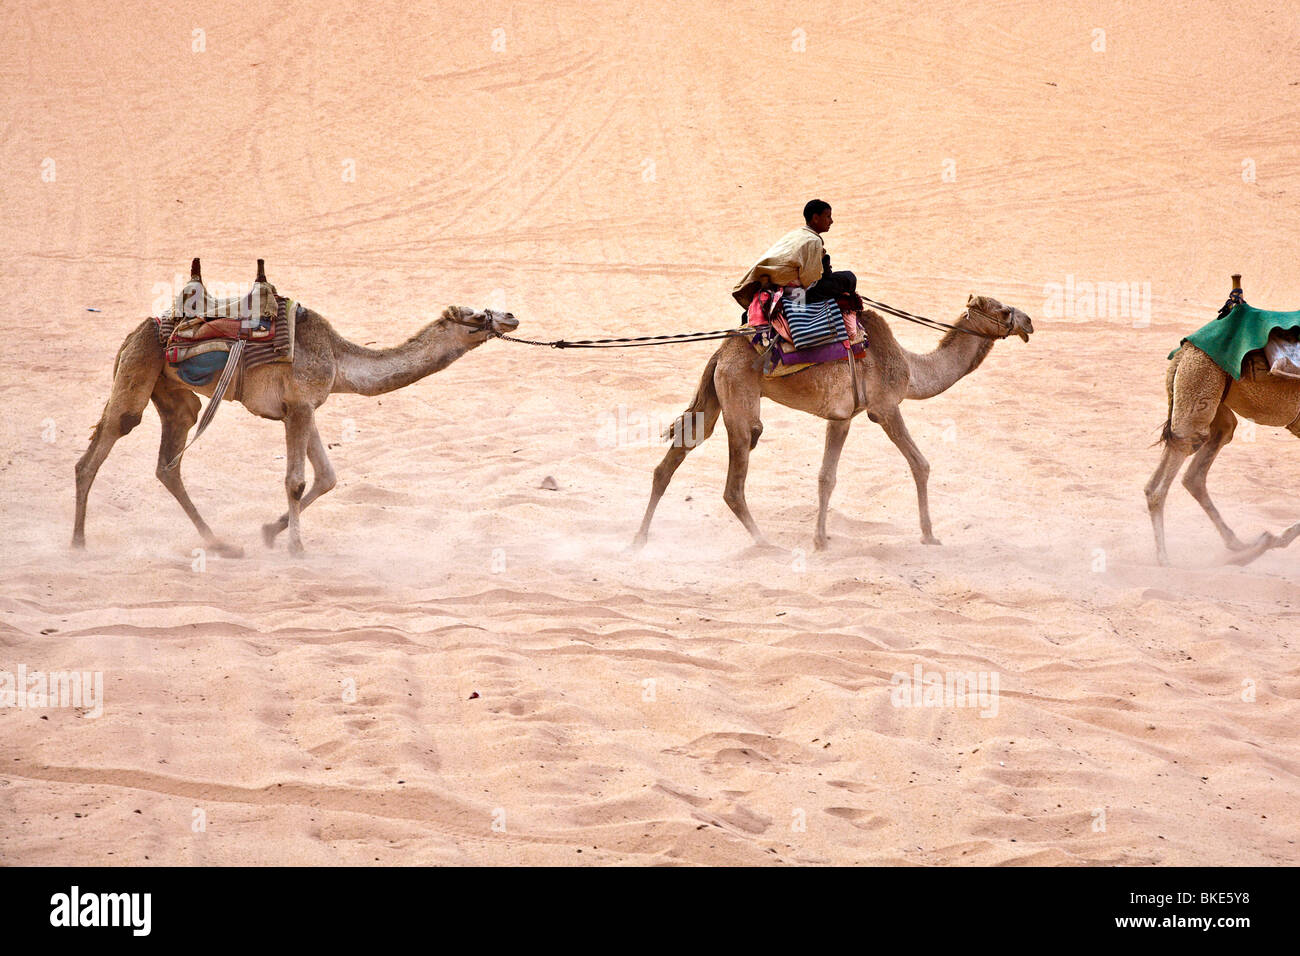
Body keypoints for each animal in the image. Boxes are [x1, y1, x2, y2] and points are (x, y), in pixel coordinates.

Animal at [73, 302, 518, 555]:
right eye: (478, 314)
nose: (511, 315)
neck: (338, 357)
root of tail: (130, 336)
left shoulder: (303, 408)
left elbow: (328, 476)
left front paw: (271, 532)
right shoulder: (300, 405)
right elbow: (297, 481)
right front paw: (296, 548)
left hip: (174, 395)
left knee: (168, 461)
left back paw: (220, 544)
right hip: (139, 369)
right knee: (101, 446)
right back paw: (78, 542)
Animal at [632, 294, 1033, 550]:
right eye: (1002, 309)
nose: (1028, 321)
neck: (911, 369)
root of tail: (719, 353)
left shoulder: (842, 417)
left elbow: (827, 477)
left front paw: (821, 538)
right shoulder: (884, 407)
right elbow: (920, 464)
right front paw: (929, 536)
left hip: (715, 397)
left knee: (673, 457)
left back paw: (639, 539)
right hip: (739, 401)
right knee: (734, 482)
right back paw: (764, 542)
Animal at [1145, 342, 1300, 566]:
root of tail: (1183, 353)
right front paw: (1279, 538)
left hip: (1214, 410)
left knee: (1189, 475)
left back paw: (1242, 545)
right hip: (1199, 392)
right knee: (1166, 479)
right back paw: (1164, 558)